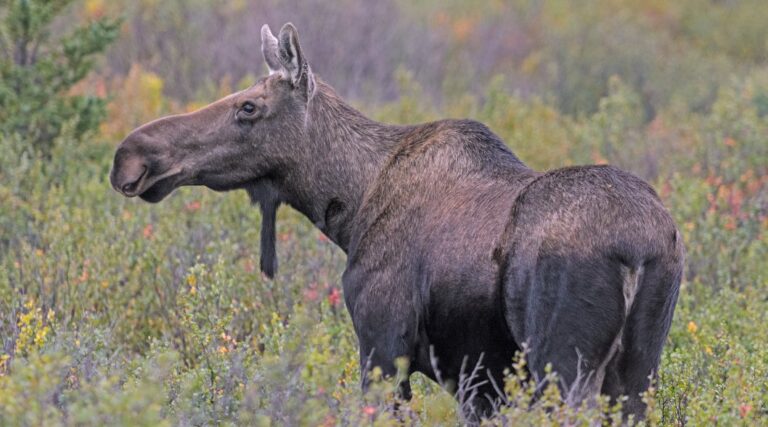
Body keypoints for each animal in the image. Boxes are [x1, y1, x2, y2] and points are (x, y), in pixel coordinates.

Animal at [110, 23, 684, 422]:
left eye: (248, 107)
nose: (131, 157)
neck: (349, 207)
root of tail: (639, 249)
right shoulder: (480, 383)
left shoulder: (382, 344)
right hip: (637, 372)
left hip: (560, 365)